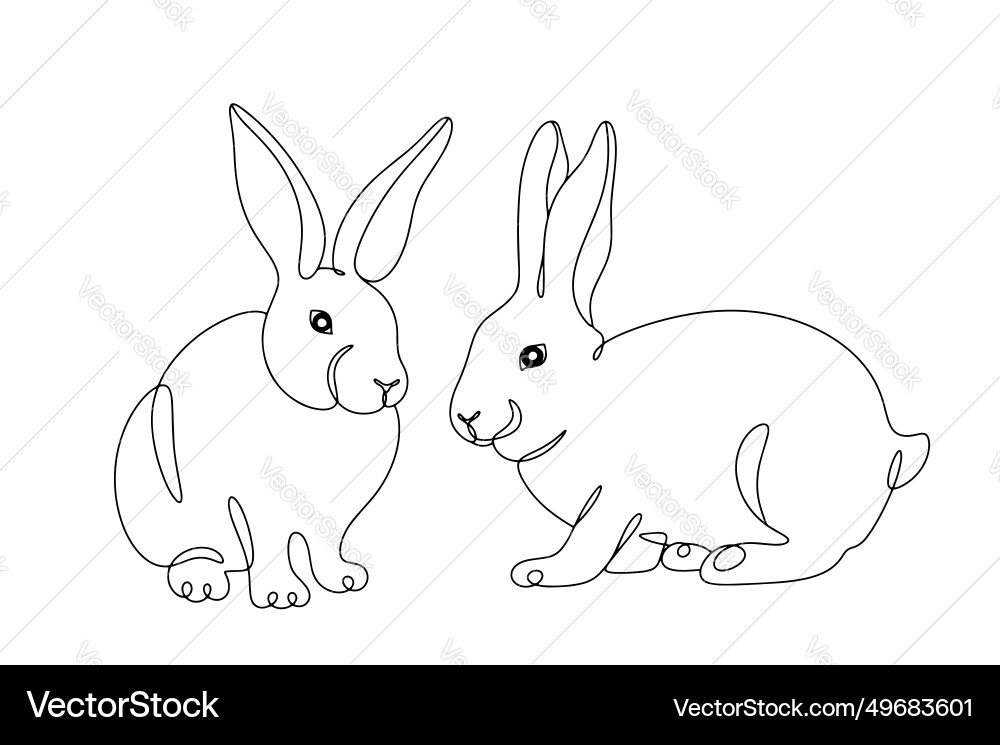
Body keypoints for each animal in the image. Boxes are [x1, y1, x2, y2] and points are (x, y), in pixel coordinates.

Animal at [115, 104, 451, 608]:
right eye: (320, 322)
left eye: (388, 317)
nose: (388, 384)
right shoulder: (254, 501)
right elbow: (272, 544)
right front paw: (281, 596)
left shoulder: (335, 510)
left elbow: (327, 540)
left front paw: (345, 580)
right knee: (193, 551)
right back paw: (202, 583)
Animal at [449, 120, 929, 587]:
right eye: (475, 340)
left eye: (532, 357)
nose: (465, 416)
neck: (584, 402)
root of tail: (892, 444)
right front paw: (638, 562)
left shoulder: (612, 498)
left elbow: (588, 543)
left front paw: (540, 571)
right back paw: (687, 555)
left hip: (775, 467)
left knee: (815, 550)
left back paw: (730, 564)